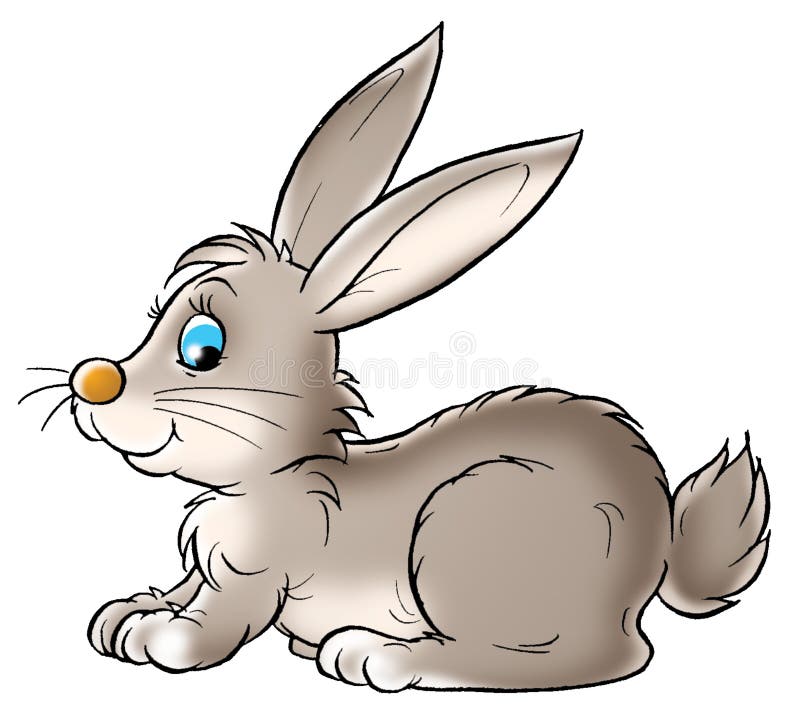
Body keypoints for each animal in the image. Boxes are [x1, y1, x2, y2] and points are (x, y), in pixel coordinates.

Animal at [23, 24, 770, 691]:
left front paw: (162, 639)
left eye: (202, 347)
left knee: (585, 660)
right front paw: (128, 613)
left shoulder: (258, 573)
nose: (92, 383)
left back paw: (379, 655)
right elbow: (181, 585)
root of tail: (658, 556)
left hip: (465, 532)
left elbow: (214, 624)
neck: (274, 474)